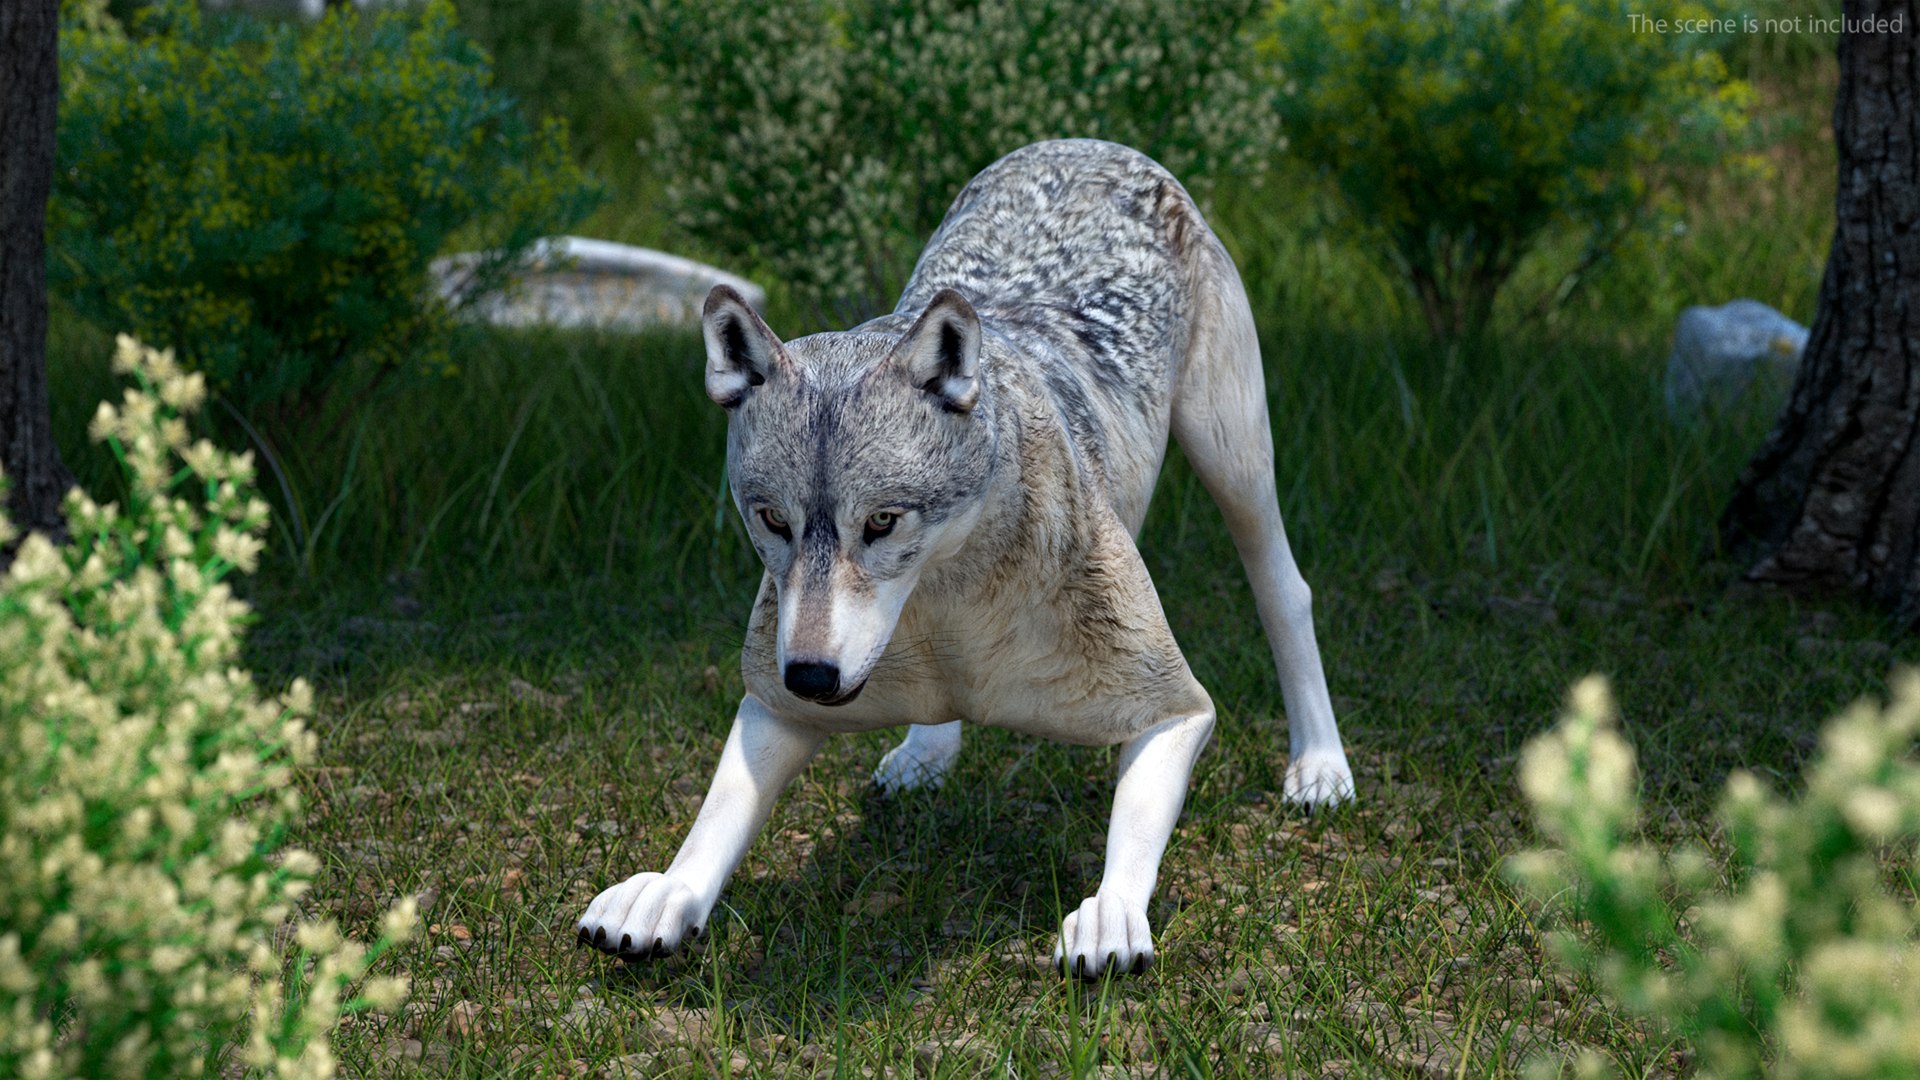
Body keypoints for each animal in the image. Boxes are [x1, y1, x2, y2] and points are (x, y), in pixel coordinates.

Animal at [577, 139, 1353, 977]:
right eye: (773, 520)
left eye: (883, 522)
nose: (811, 676)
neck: (948, 601)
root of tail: (1084, 144)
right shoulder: (773, 701)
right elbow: (717, 816)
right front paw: (667, 892)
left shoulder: (1175, 708)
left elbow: (1137, 827)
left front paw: (1111, 912)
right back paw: (925, 752)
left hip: (1234, 459)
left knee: (1287, 588)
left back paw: (1319, 765)